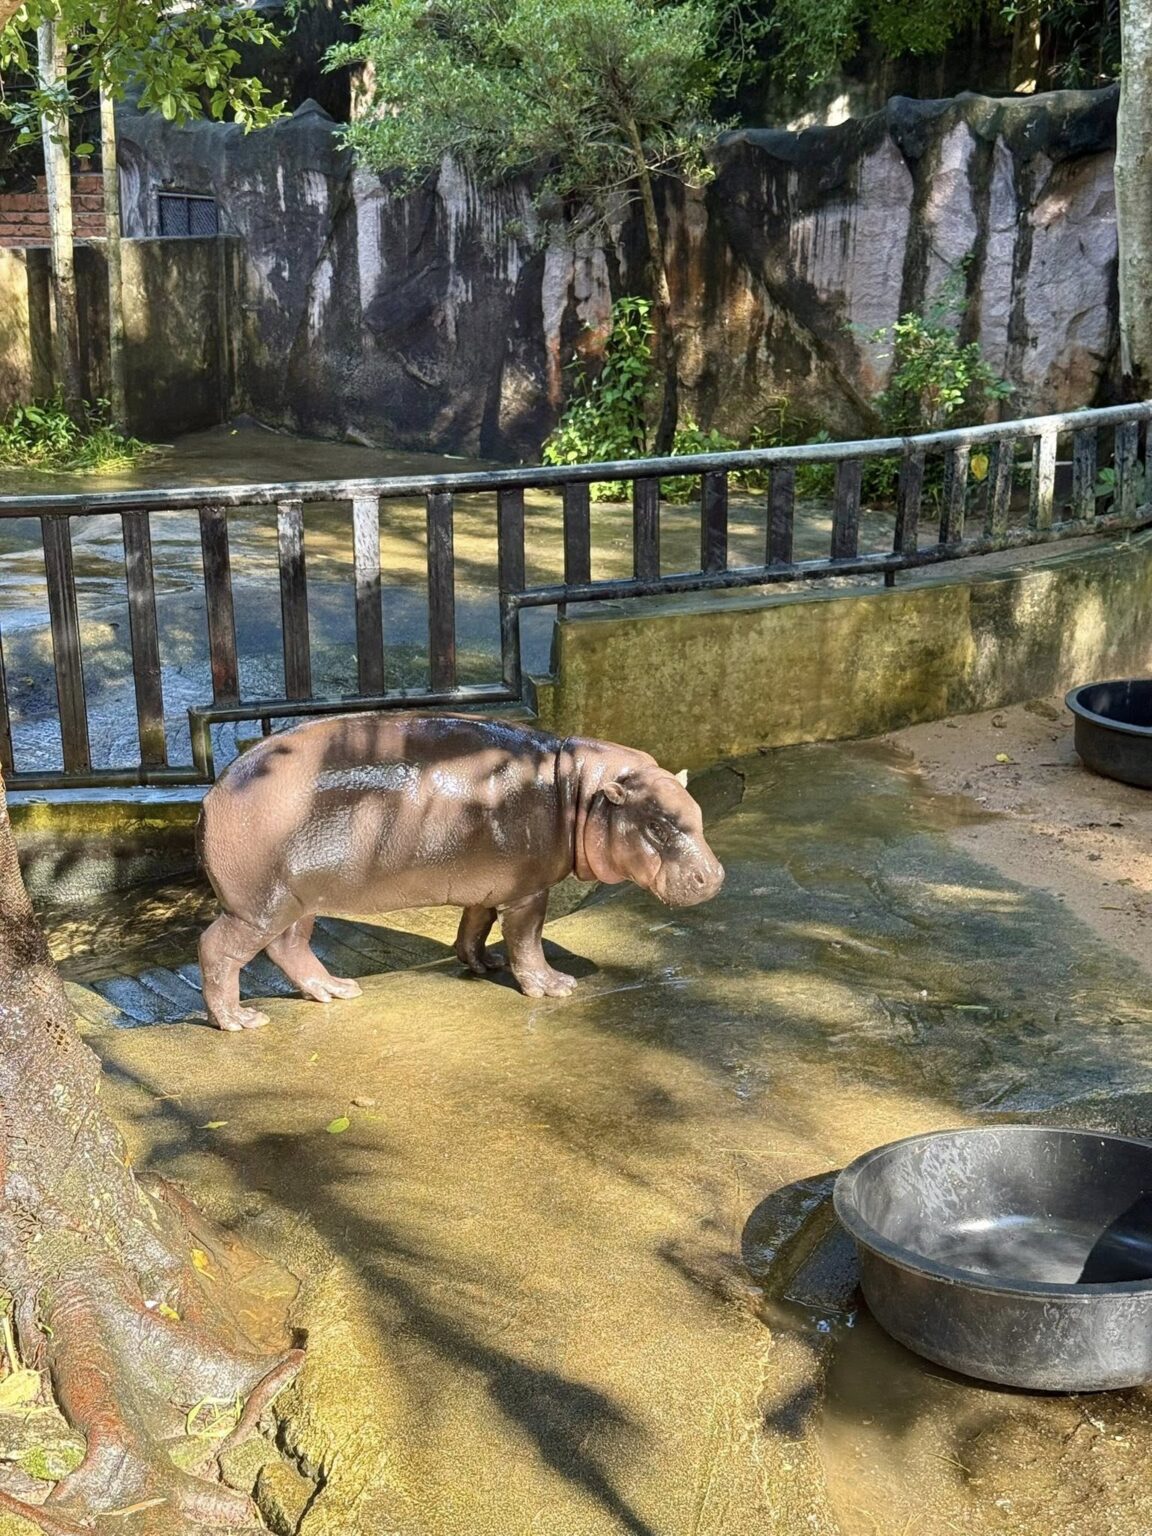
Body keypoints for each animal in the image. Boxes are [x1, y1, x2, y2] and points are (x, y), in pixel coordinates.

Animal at [196, 713, 724, 1031]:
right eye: (656, 825)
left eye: (696, 810)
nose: (715, 877)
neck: (579, 790)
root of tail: (213, 792)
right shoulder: (527, 890)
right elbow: (527, 940)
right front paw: (554, 986)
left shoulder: (488, 883)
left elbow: (475, 924)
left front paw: (483, 965)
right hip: (259, 906)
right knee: (218, 950)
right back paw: (241, 1020)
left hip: (301, 899)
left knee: (289, 947)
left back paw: (336, 991)